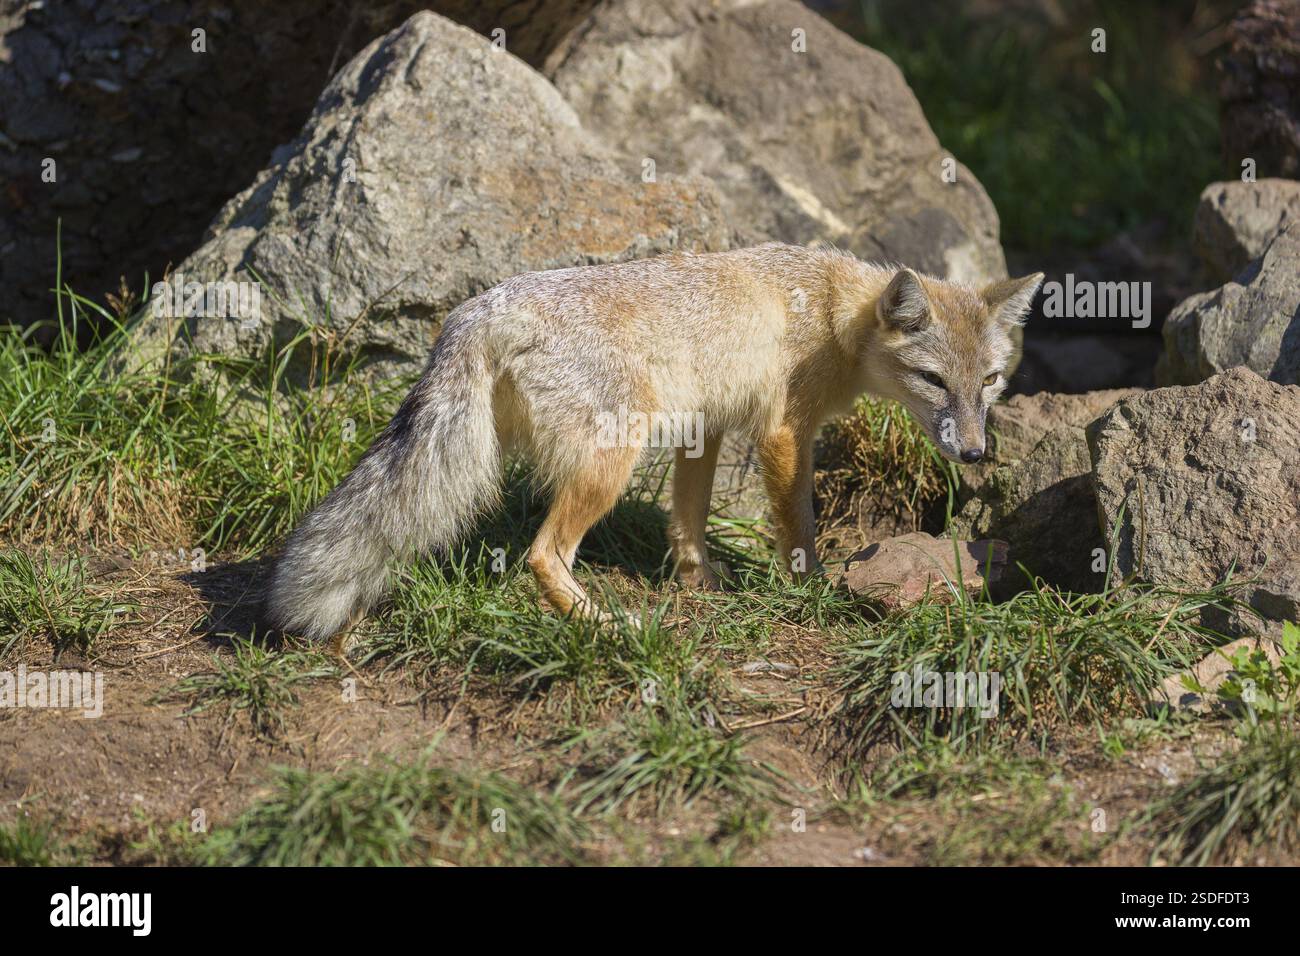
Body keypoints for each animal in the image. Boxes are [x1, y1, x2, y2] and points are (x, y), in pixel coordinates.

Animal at [263, 242, 1043, 644]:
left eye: (990, 381)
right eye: (933, 381)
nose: (976, 454)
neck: (832, 311)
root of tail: (480, 308)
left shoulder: (708, 426)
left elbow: (688, 519)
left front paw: (700, 583)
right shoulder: (784, 432)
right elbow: (798, 525)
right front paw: (811, 590)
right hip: (613, 458)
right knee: (543, 555)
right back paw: (608, 626)